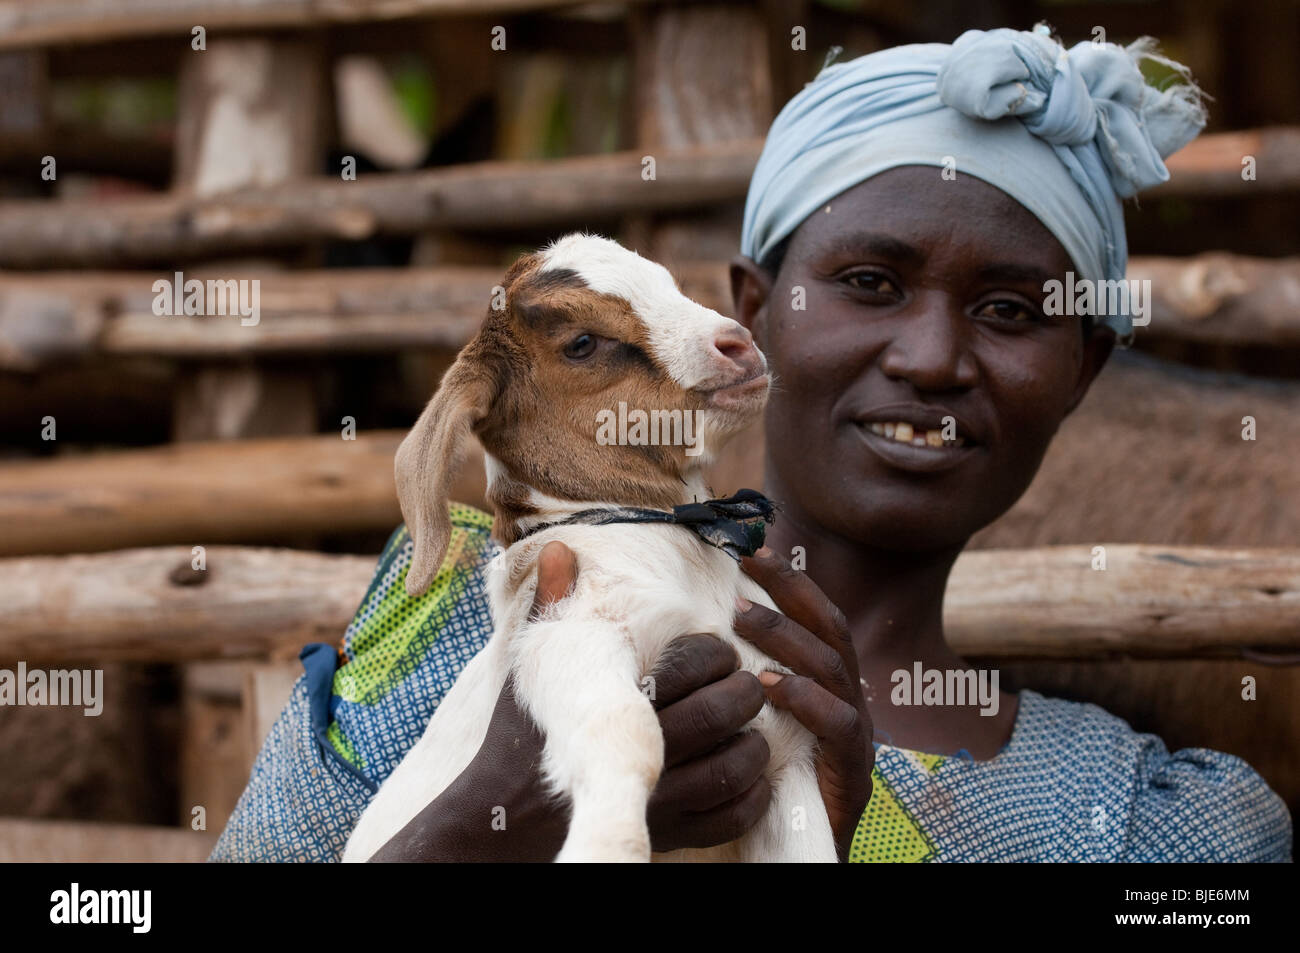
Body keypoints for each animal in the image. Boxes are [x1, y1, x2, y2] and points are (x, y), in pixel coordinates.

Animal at [342, 233, 836, 862]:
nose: (738, 345)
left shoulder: (786, 748)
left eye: (669, 285)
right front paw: (607, 841)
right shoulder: (570, 628)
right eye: (581, 343)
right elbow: (628, 732)